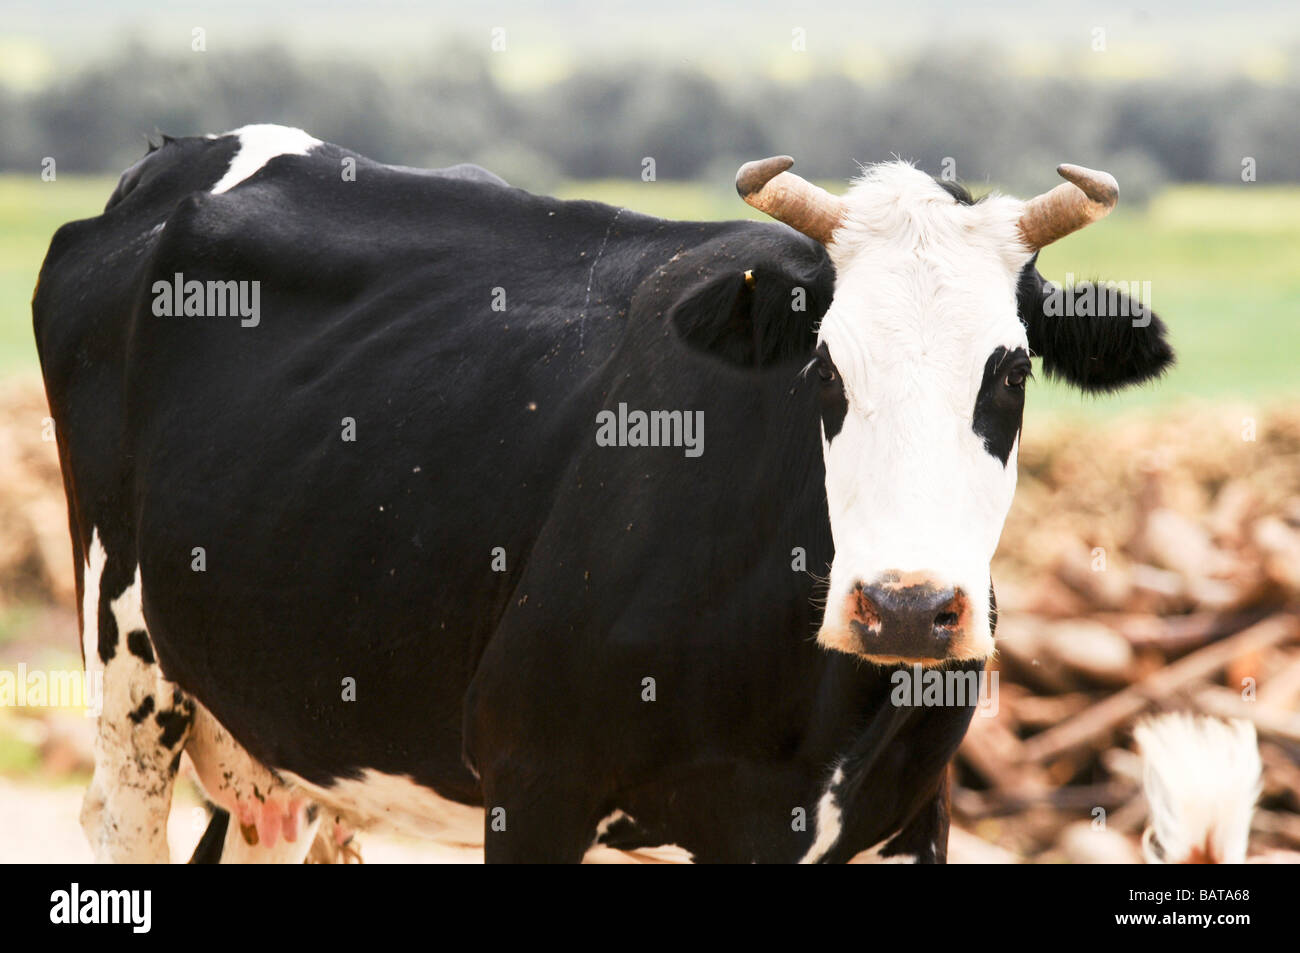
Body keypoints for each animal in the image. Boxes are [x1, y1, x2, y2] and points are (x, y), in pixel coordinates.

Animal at [33, 124, 1172, 863]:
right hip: (130, 683)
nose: (903, 607)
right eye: (826, 368)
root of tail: (178, 156)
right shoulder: (532, 783)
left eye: (1010, 372)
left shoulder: (906, 821)